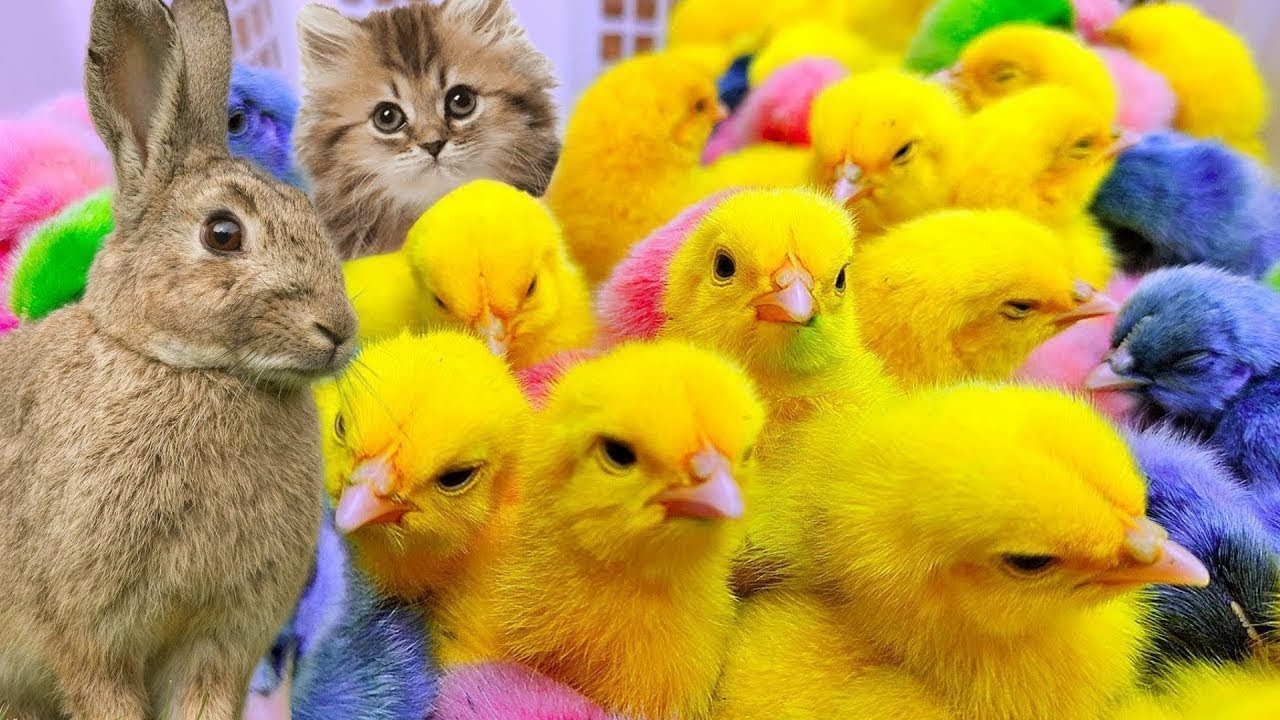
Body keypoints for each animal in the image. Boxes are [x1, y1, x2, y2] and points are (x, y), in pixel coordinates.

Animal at [0, 0, 357, 718]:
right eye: (223, 233)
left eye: (308, 209)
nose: (338, 330)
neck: (190, 368)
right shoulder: (90, 640)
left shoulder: (220, 644)